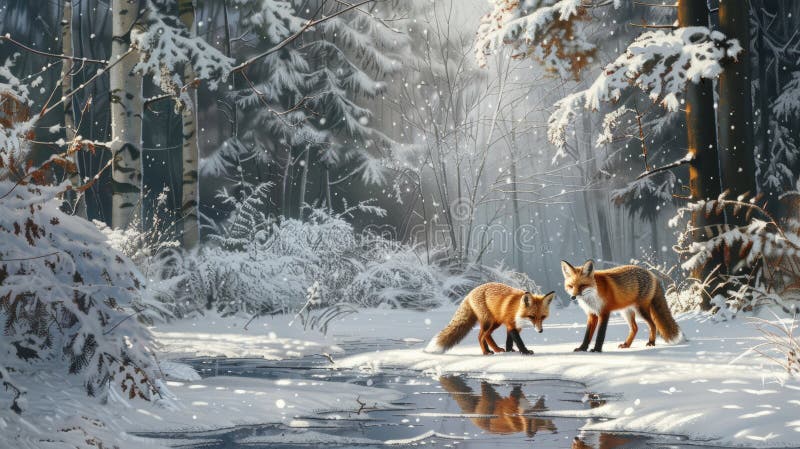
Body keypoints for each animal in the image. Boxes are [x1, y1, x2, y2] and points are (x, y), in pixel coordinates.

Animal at [425, 282, 555, 355]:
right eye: (532, 316)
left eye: (542, 317)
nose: (540, 331)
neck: (516, 310)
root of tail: (469, 293)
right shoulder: (511, 324)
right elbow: (519, 341)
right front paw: (525, 352)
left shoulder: (513, 327)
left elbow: (509, 341)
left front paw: (509, 351)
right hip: (489, 322)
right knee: (480, 336)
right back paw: (486, 352)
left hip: (495, 322)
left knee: (486, 336)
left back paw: (496, 349)